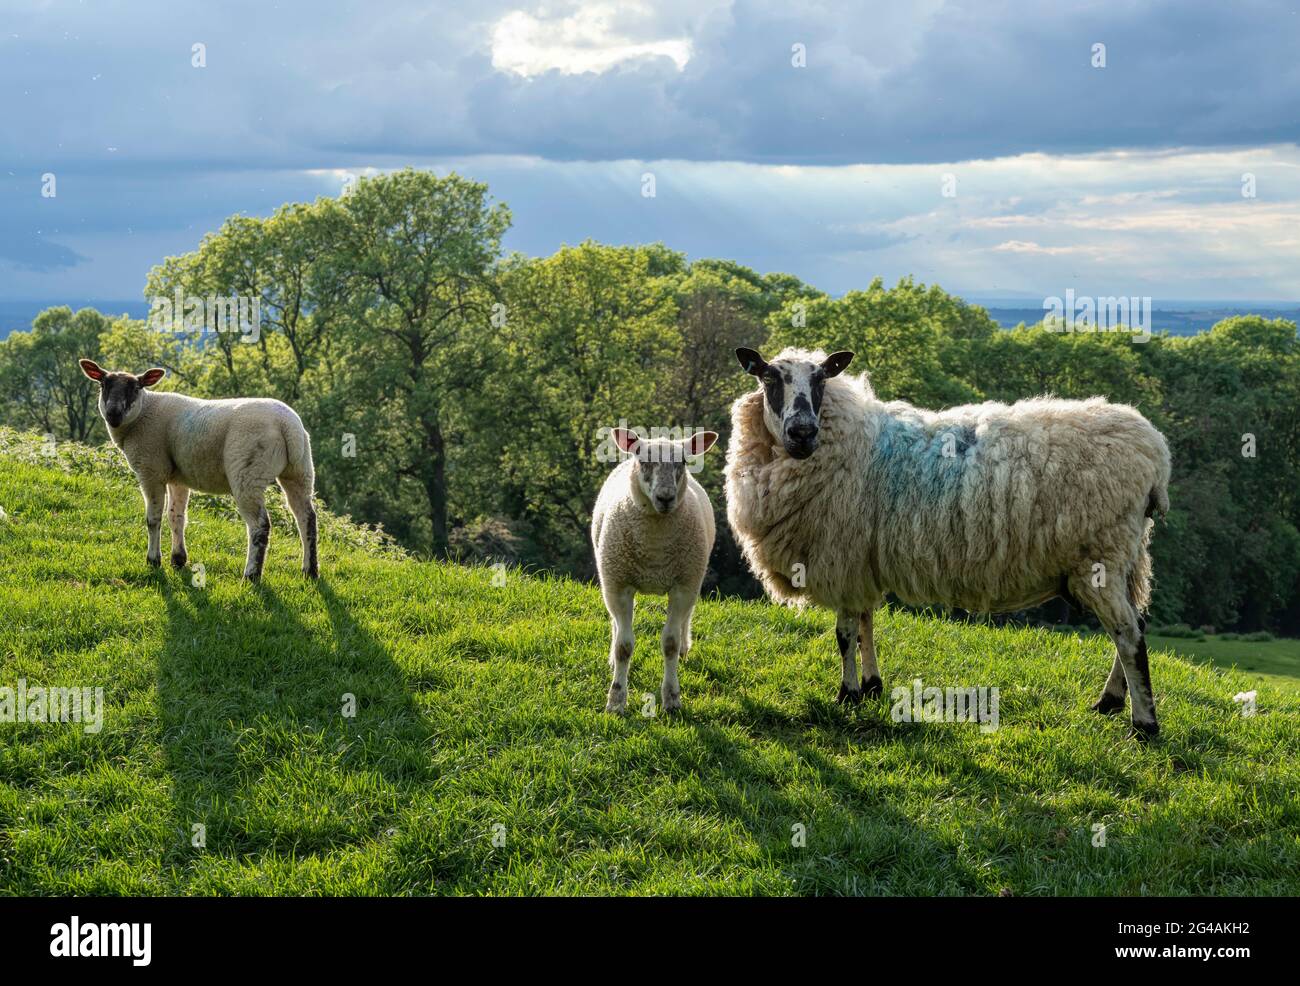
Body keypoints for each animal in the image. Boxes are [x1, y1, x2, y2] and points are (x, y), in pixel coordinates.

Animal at [78, 359, 318, 581]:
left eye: (136, 388)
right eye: (103, 384)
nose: (113, 414)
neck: (144, 412)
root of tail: (287, 425)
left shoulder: (151, 470)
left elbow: (153, 519)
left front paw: (154, 560)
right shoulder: (177, 476)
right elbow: (176, 516)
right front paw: (178, 560)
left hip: (248, 473)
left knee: (260, 525)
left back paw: (251, 575)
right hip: (300, 470)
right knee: (306, 518)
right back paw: (310, 571)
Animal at [591, 428, 719, 713]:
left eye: (682, 461)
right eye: (643, 460)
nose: (665, 497)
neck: (655, 549)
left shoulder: (683, 586)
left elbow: (669, 643)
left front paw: (671, 698)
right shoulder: (619, 585)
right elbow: (624, 646)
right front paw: (616, 699)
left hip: (694, 574)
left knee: (686, 619)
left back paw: (684, 648)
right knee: (614, 622)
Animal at [725, 346, 1172, 738]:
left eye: (821, 379)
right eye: (768, 378)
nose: (802, 432)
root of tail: (1155, 454)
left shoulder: (843, 557)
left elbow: (845, 634)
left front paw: (847, 695)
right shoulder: (862, 561)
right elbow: (867, 624)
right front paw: (872, 686)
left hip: (1100, 555)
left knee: (1128, 634)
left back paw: (1143, 725)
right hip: (1122, 555)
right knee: (1135, 624)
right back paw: (1110, 702)